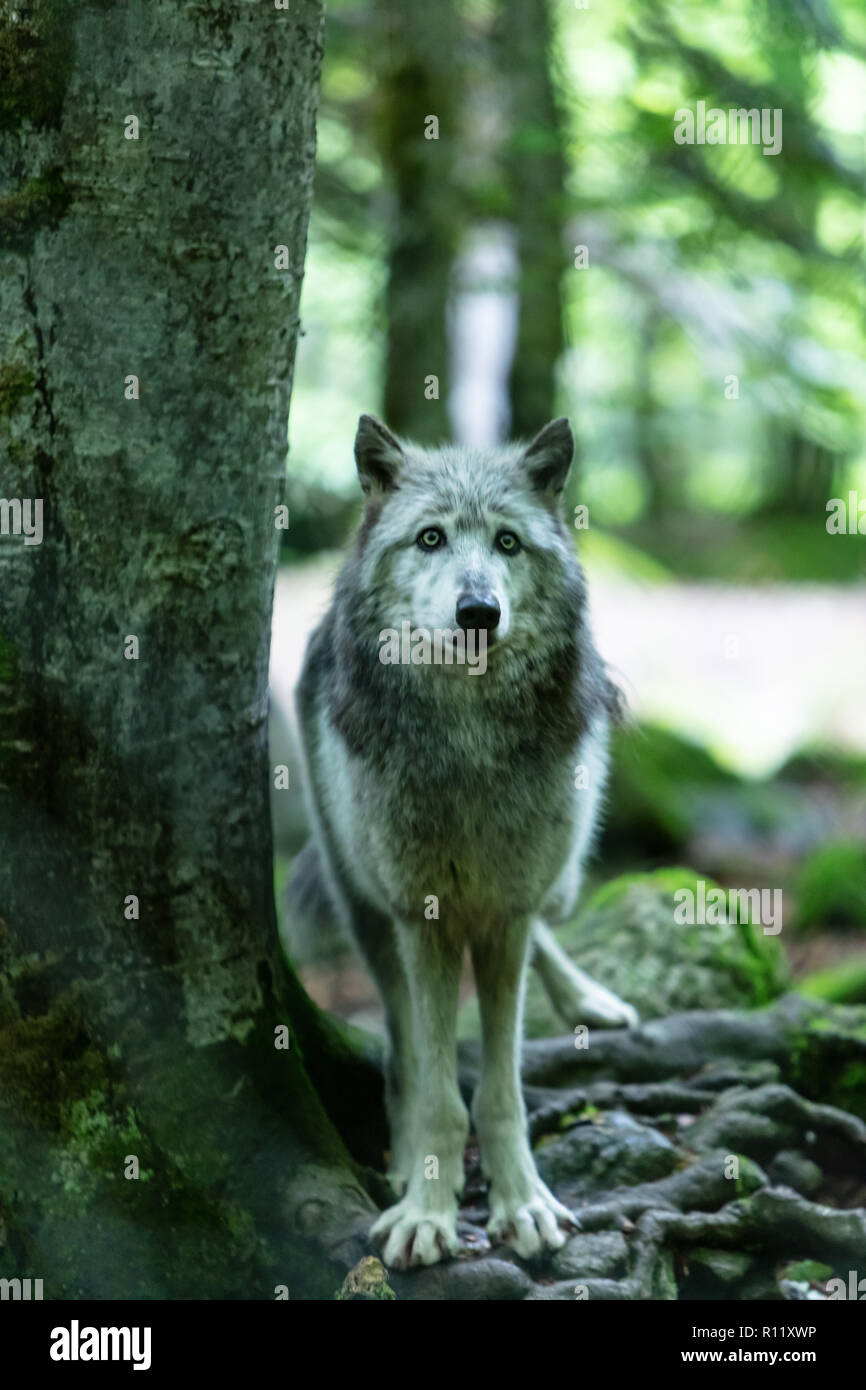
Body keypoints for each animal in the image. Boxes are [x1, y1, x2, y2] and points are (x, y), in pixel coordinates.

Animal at [288, 414, 637, 1268]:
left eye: (508, 543)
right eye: (431, 539)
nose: (479, 610)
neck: (470, 744)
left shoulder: (506, 912)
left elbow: (502, 1091)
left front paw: (525, 1206)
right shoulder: (425, 919)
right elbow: (441, 1091)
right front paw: (428, 1210)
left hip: (558, 873)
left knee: (552, 921)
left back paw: (589, 997)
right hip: (366, 906)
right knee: (402, 1051)